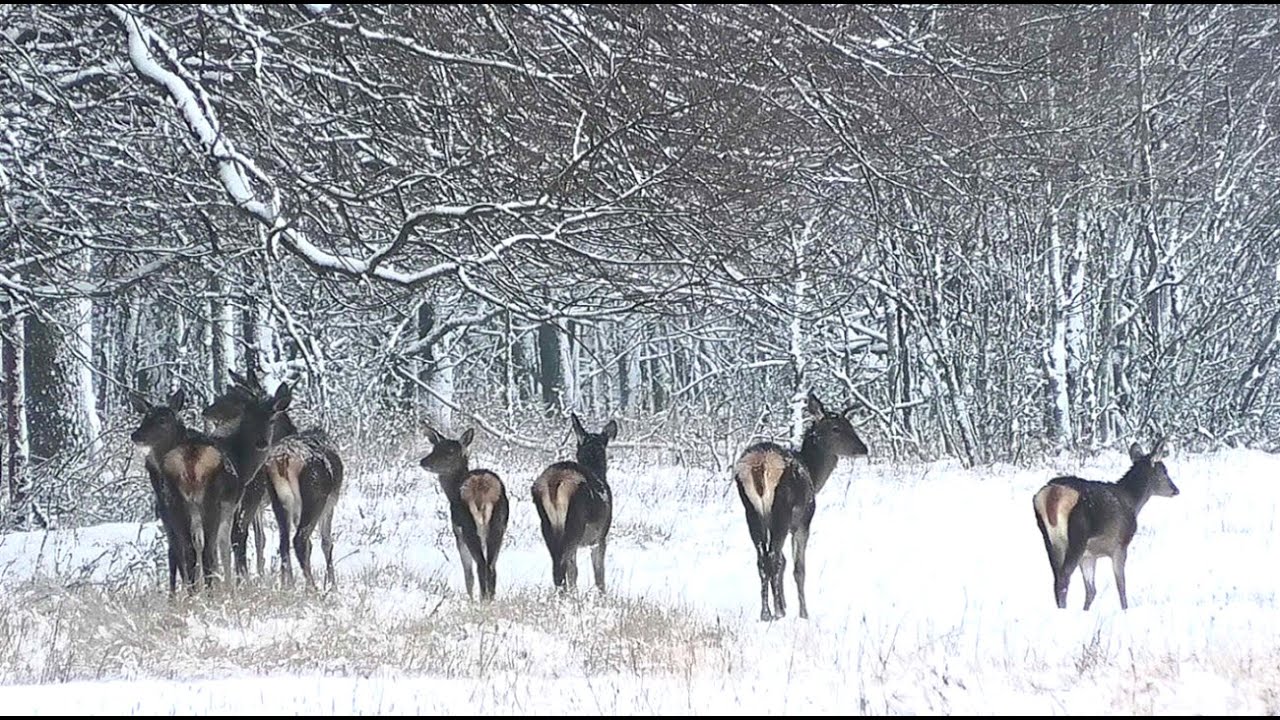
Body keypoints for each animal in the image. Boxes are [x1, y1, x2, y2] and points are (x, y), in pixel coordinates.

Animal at [418, 426, 509, 601]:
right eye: (434, 448)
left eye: (449, 452)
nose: (423, 462)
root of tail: (482, 487)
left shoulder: (457, 532)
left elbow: (468, 574)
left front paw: (471, 600)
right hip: (498, 525)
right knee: (491, 565)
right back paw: (490, 599)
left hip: (468, 527)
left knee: (481, 565)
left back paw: (482, 600)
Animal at [532, 414, 617, 594]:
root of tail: (555, 482)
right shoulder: (600, 536)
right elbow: (599, 574)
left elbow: (573, 572)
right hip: (574, 524)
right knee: (561, 567)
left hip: (547, 526)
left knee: (557, 566)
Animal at [733, 390, 869, 621]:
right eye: (836, 428)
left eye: (850, 424)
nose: (864, 448)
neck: (814, 475)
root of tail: (760, 465)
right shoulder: (803, 522)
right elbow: (798, 568)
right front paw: (803, 613)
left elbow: (785, 562)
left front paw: (785, 605)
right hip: (782, 511)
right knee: (773, 557)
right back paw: (777, 613)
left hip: (751, 511)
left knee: (762, 559)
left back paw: (766, 613)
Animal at [1032, 439, 1179, 611]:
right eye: (1164, 471)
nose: (1176, 490)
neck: (1133, 502)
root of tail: (1052, 494)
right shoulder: (1120, 545)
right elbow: (1121, 585)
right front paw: (1125, 609)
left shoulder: (1089, 555)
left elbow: (1091, 590)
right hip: (1077, 536)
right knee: (1063, 579)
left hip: (1049, 540)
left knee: (1056, 579)